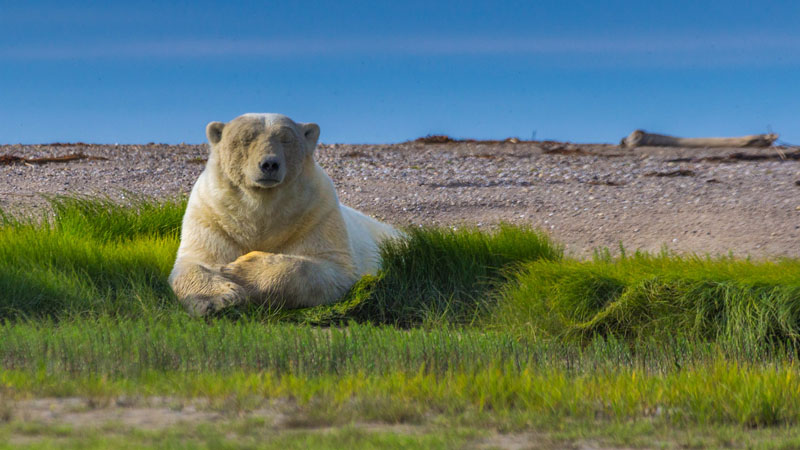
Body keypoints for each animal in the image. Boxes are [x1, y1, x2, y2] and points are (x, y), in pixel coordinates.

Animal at [169, 113, 401, 316]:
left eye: (286, 139)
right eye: (246, 139)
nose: (269, 164)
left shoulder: (318, 213)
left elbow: (330, 268)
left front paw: (239, 270)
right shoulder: (211, 215)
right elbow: (195, 262)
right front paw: (219, 300)